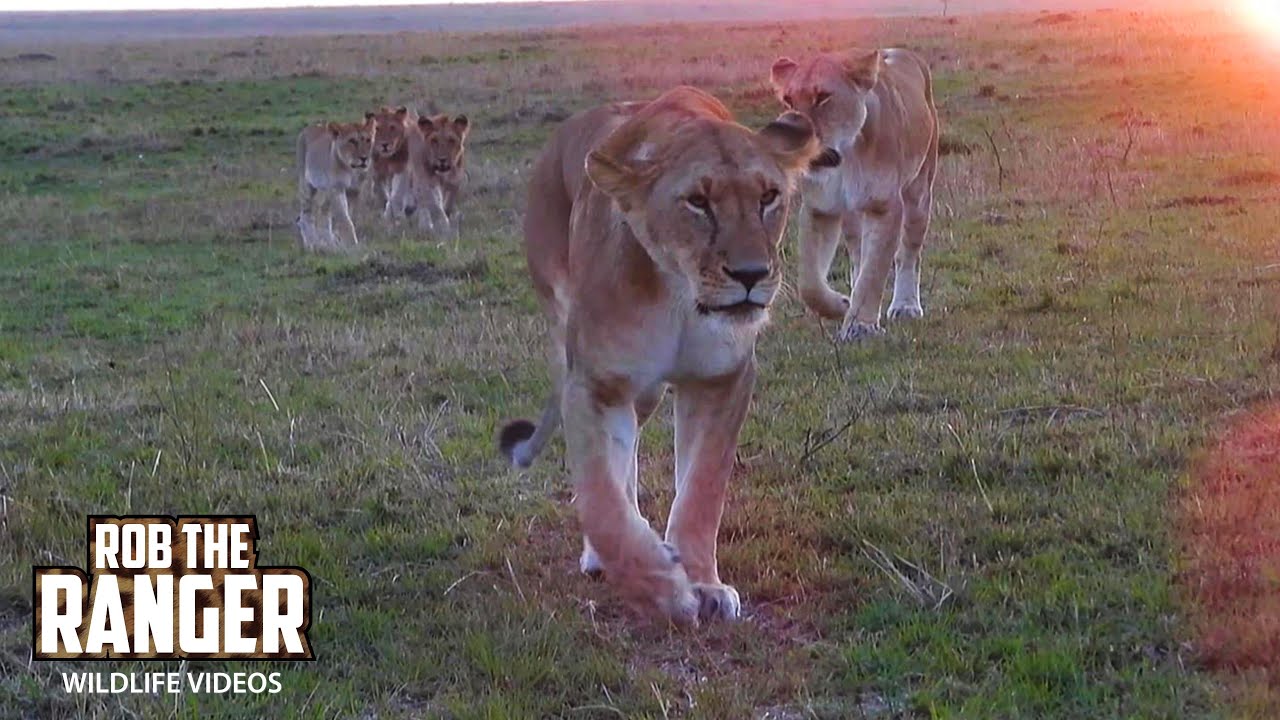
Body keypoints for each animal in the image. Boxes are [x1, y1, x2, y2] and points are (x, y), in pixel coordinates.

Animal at [296, 114, 376, 250]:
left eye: (368, 140)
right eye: (352, 141)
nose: (364, 158)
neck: (351, 170)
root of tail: (307, 128)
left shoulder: (354, 191)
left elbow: (348, 216)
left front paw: (343, 243)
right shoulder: (336, 189)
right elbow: (345, 219)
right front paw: (353, 245)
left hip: (326, 192)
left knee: (324, 214)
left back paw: (329, 244)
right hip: (307, 186)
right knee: (305, 215)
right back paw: (312, 244)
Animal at [497, 87, 818, 625]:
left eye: (768, 197)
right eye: (698, 202)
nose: (751, 274)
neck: (681, 296)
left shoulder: (723, 380)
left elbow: (702, 489)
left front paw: (703, 584)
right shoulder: (594, 383)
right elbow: (601, 499)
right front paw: (662, 587)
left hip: (644, 393)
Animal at [771, 48, 939, 340]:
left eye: (823, 97)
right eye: (788, 100)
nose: (790, 133)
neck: (844, 158)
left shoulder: (884, 207)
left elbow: (874, 272)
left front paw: (860, 325)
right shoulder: (819, 208)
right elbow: (809, 283)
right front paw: (841, 305)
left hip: (919, 193)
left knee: (908, 253)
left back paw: (905, 305)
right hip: (850, 216)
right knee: (858, 254)